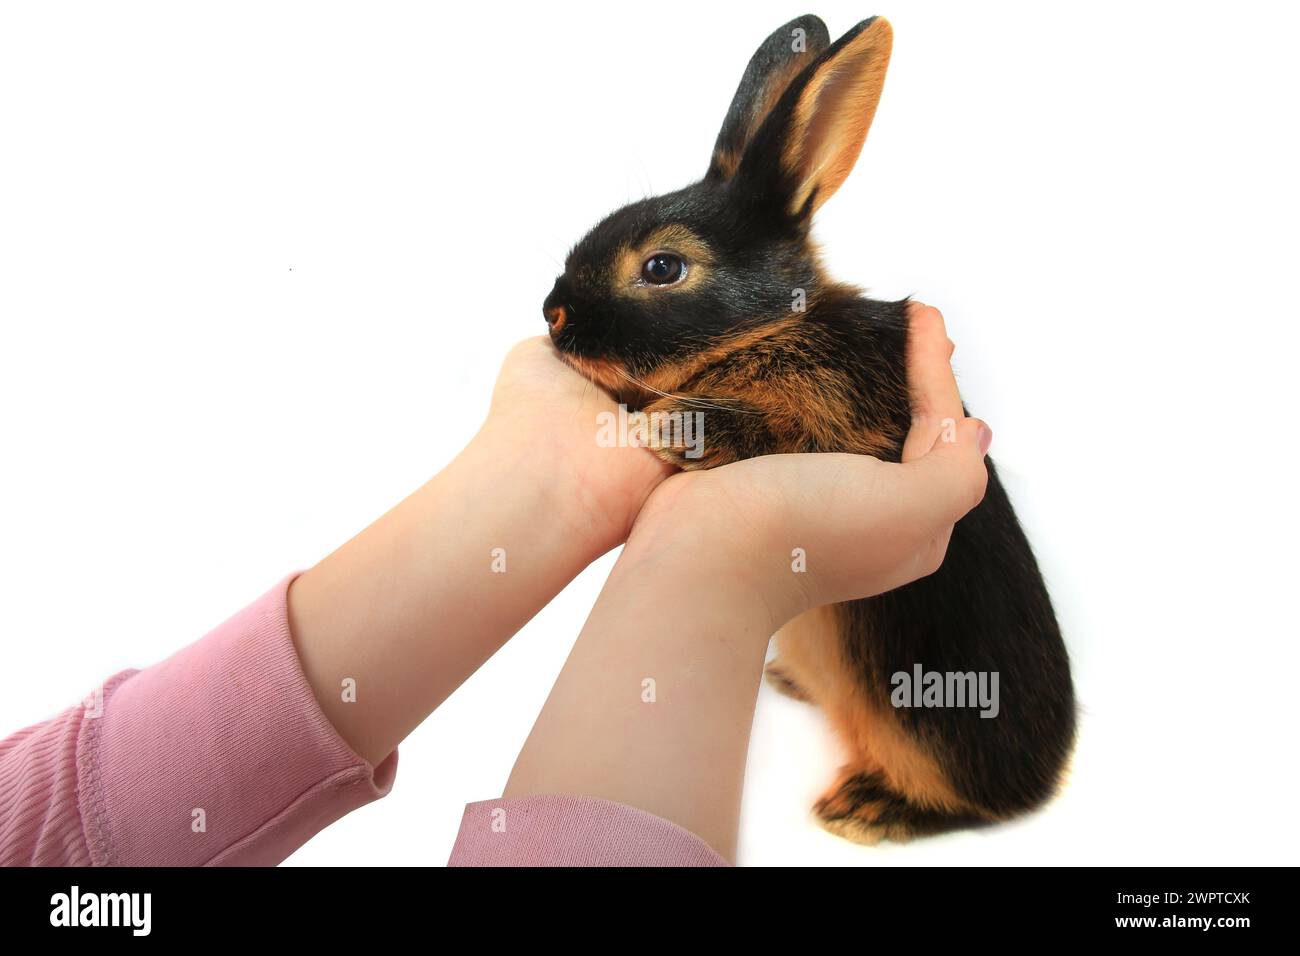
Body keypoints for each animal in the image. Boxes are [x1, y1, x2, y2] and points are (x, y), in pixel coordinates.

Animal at [541, 14, 1076, 843]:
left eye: (662, 268)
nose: (553, 314)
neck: (767, 328)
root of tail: (1047, 782)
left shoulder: (847, 412)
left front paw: (679, 430)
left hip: (922, 709)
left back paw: (862, 810)